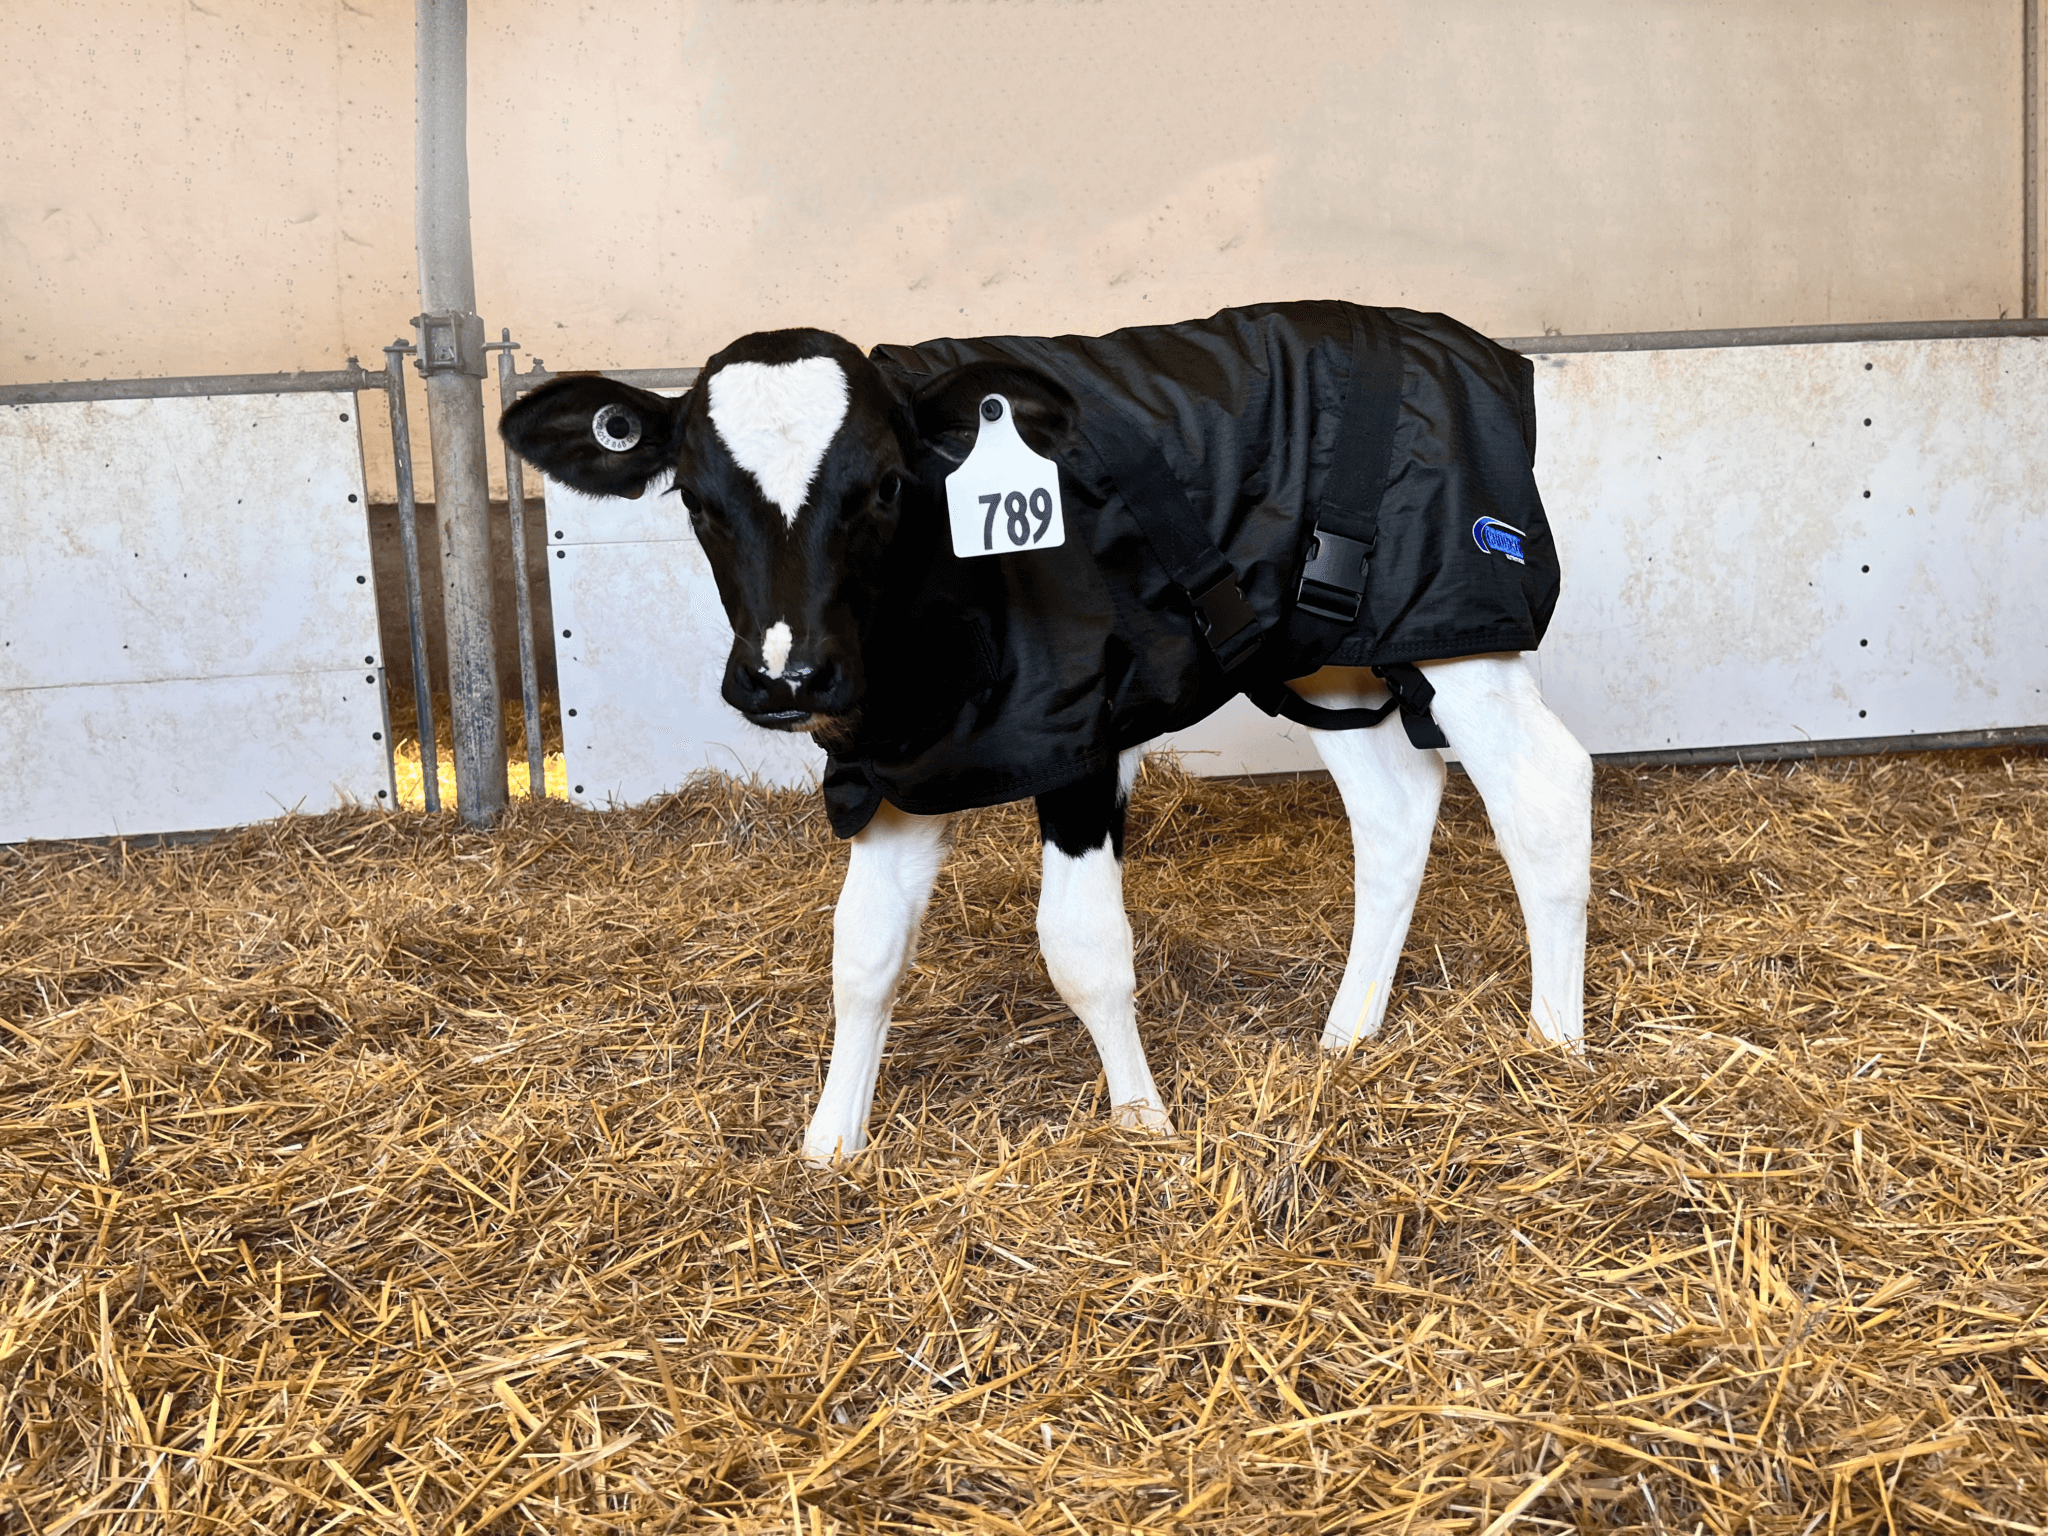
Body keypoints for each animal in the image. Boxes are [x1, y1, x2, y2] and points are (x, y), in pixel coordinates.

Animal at [502, 303, 1592, 1165]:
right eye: (696, 499)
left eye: (884, 488)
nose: (786, 677)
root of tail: (1467, 342)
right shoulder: (894, 773)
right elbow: (861, 953)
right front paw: (829, 1148)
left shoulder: (1081, 741)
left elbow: (1081, 948)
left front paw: (1143, 1123)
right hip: (1326, 652)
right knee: (1393, 807)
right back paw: (1346, 1037)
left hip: (1464, 624)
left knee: (1543, 788)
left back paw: (1554, 1050)